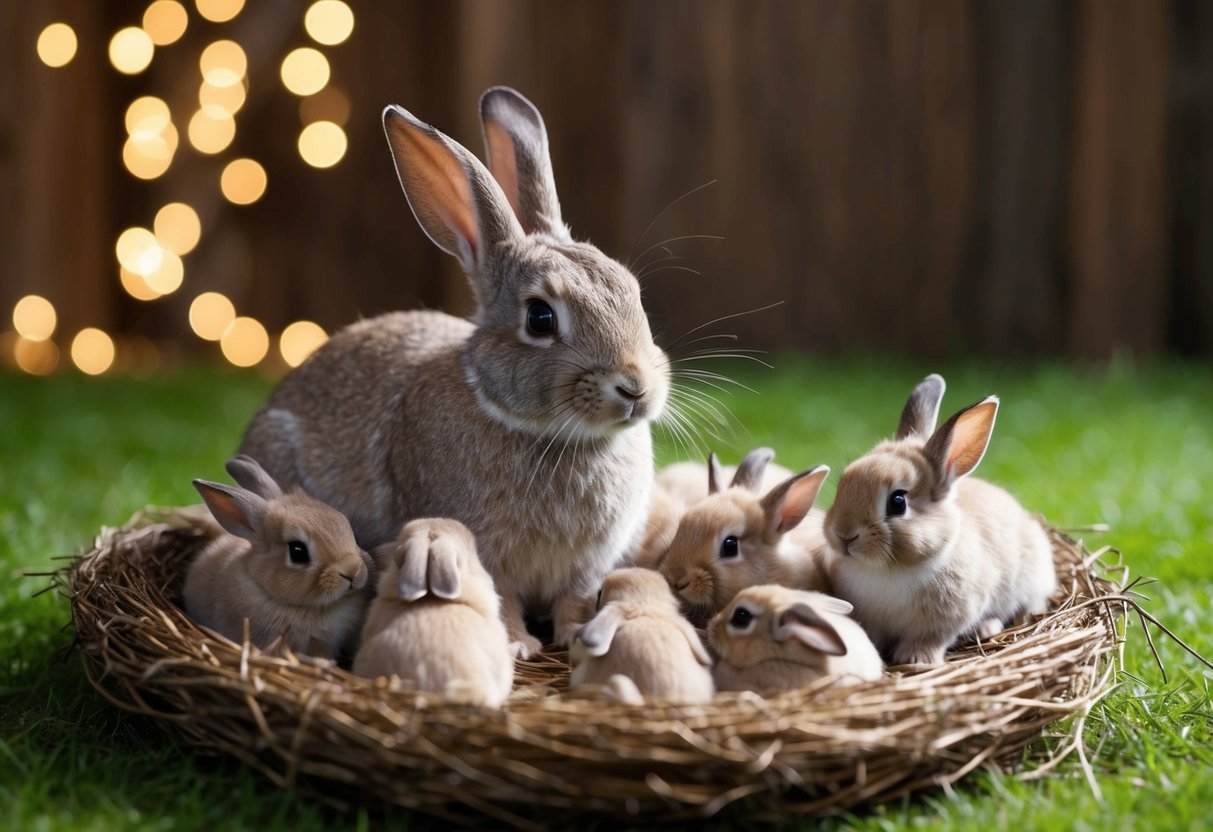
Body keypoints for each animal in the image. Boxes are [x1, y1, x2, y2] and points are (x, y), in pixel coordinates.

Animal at [237, 87, 670, 659]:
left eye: (633, 293)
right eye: (540, 318)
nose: (636, 387)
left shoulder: (588, 567)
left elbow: (574, 600)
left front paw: (573, 636)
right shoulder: (488, 553)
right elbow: (502, 597)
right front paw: (518, 646)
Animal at [823, 374, 1058, 666]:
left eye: (898, 501)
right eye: (842, 486)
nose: (844, 534)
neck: (888, 570)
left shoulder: (948, 618)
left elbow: (932, 638)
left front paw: (916, 658)